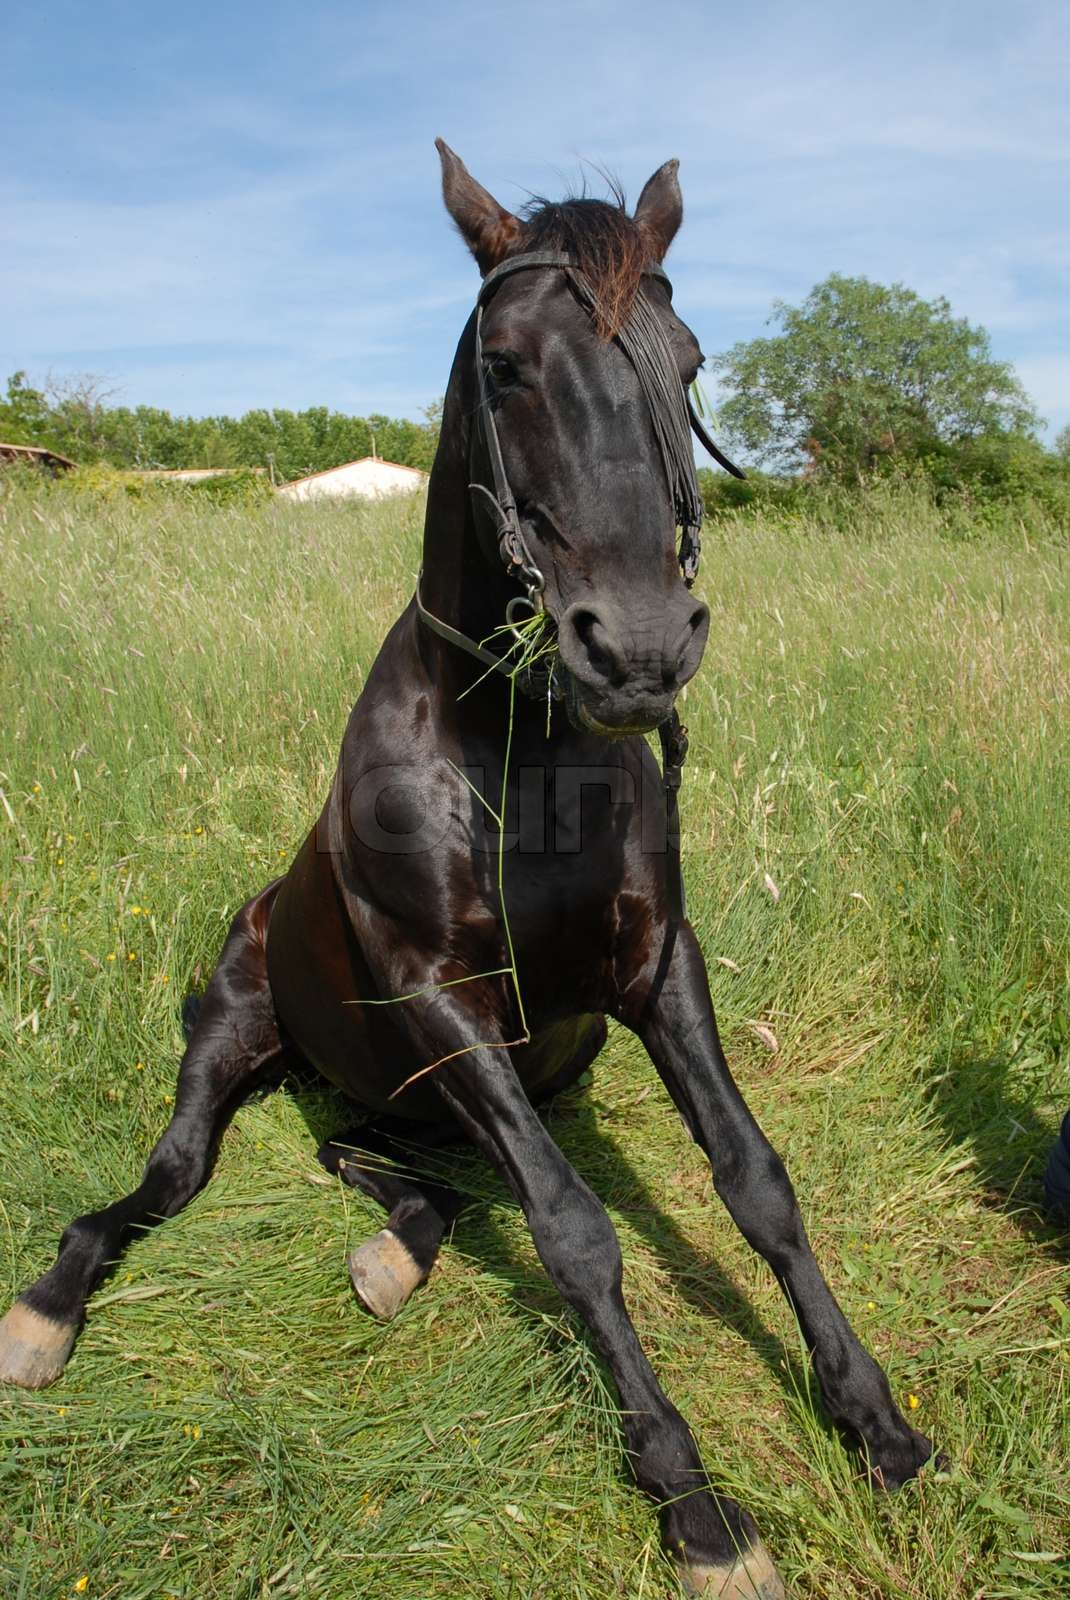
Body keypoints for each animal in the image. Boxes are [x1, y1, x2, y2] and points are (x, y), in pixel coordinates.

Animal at [0, 142, 937, 1597]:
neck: (513, 750)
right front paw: (696, 1508)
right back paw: (48, 1308)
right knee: (171, 1176)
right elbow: (573, 1233)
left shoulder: (659, 967)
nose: (640, 649)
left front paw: (872, 1419)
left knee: (393, 1165)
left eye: (688, 364)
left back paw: (395, 1253)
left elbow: (756, 1184)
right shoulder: (443, 996)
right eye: (503, 365)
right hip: (237, 1036)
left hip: (404, 1096)